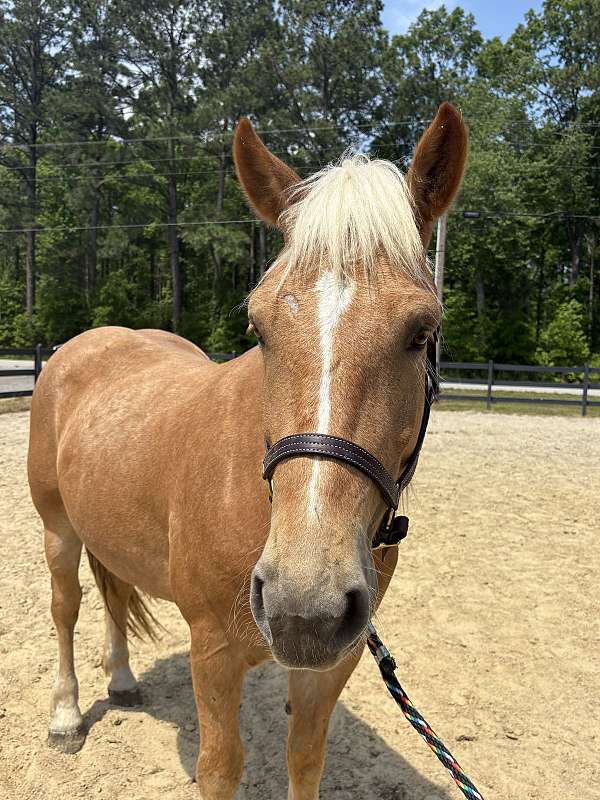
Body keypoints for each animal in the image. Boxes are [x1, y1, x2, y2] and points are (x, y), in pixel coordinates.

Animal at [27, 101, 467, 799]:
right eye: (258, 327)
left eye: (423, 330)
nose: (303, 605)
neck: (260, 502)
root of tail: (85, 344)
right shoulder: (213, 649)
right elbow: (220, 767)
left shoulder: (332, 658)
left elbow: (305, 759)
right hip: (57, 527)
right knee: (65, 607)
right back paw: (67, 716)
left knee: (112, 593)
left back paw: (121, 679)